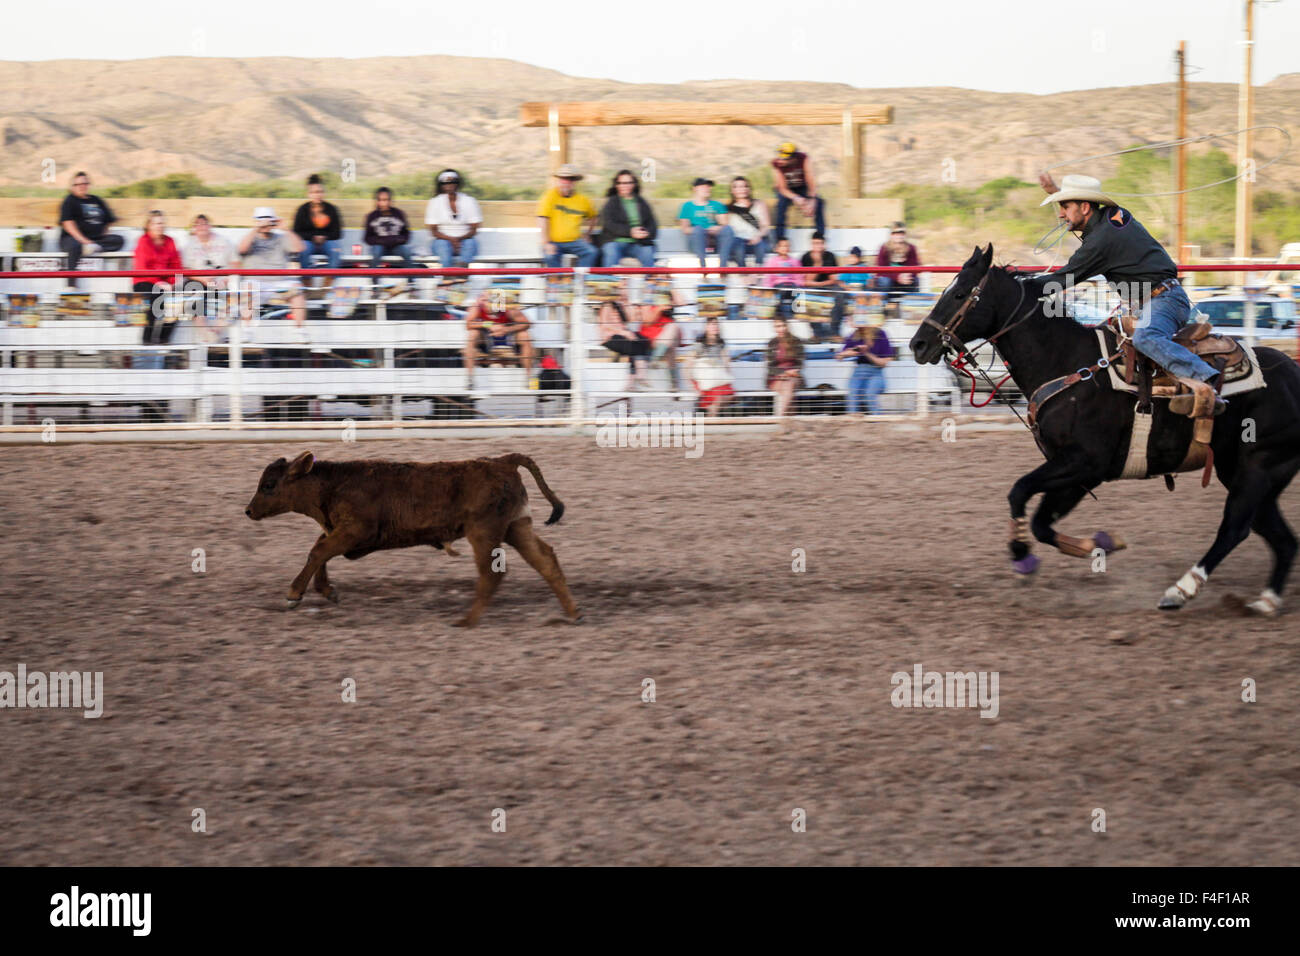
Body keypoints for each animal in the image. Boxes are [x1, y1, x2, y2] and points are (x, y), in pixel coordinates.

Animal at [244, 450, 580, 627]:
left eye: (269, 485)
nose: (248, 511)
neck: (333, 486)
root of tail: (502, 460)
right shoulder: (341, 531)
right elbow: (319, 549)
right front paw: (327, 590)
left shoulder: (356, 532)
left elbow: (320, 550)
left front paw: (294, 594)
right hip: (516, 527)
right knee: (545, 559)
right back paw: (573, 612)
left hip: (484, 533)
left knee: (492, 573)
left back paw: (467, 620)